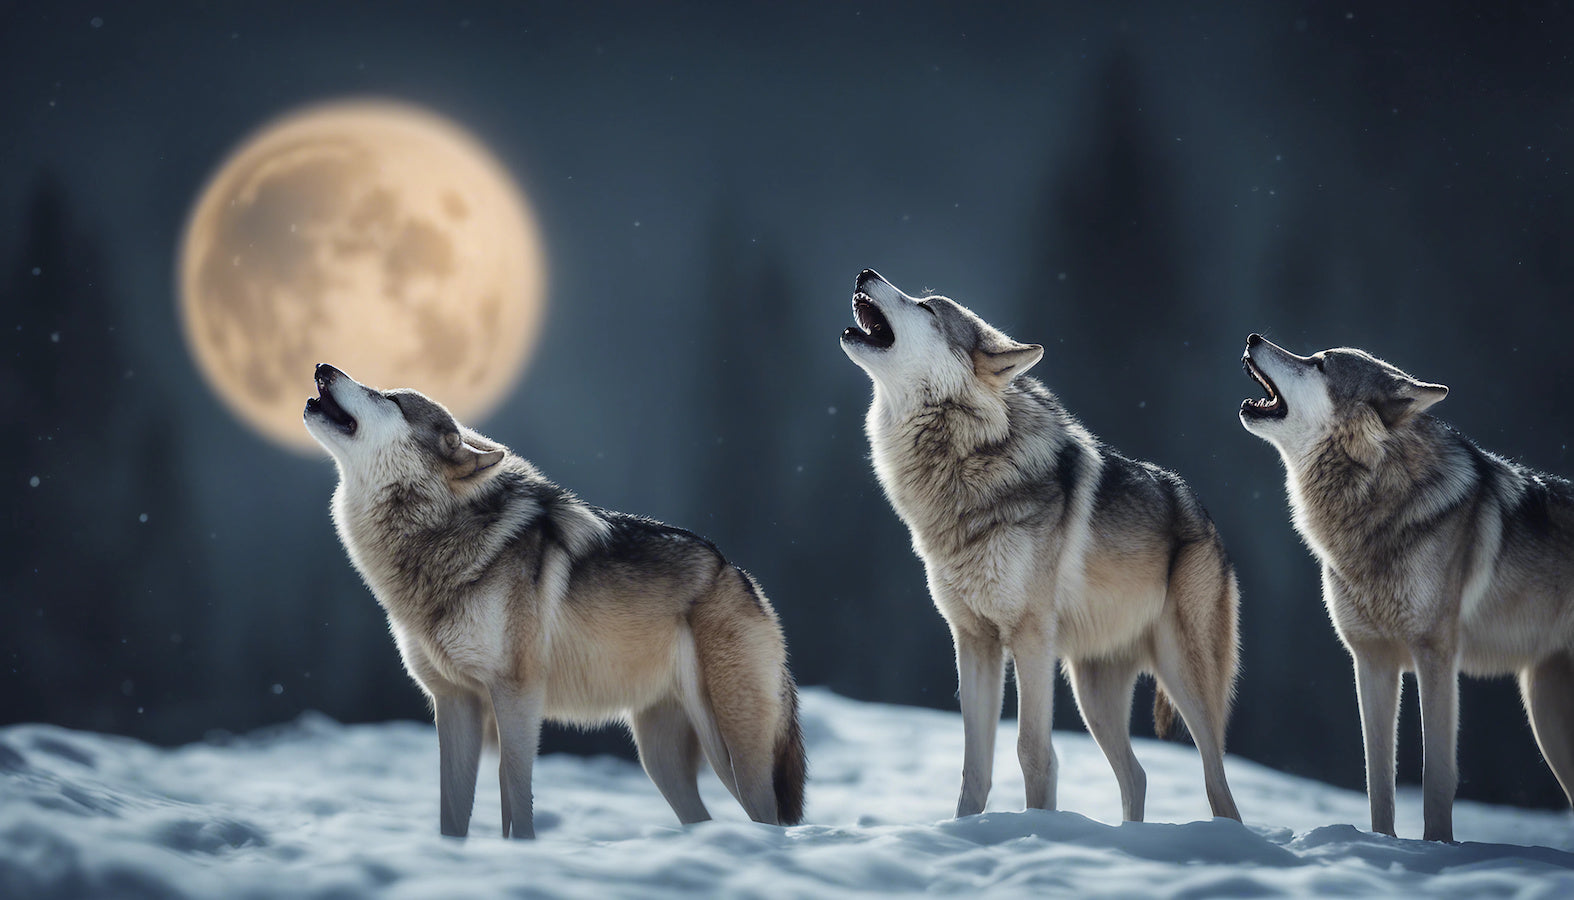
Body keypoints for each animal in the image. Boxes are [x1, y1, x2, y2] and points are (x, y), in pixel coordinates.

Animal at [303, 364, 806, 838]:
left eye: (391, 399)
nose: (324, 367)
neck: (439, 534)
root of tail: (739, 575)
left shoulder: (517, 695)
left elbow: (515, 798)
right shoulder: (455, 701)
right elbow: (453, 814)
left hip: (731, 747)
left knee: (766, 817)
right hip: (660, 756)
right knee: (704, 819)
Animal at [841, 270, 1241, 823]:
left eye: (927, 308)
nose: (865, 274)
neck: (966, 460)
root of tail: (1208, 521)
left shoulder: (1029, 637)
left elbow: (1033, 752)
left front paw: (1037, 828)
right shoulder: (974, 640)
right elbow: (974, 767)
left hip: (1184, 679)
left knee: (1217, 783)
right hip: (1091, 692)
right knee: (1137, 774)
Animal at [1240, 334, 1574, 841]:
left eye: (1319, 364)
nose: (1253, 338)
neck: (1374, 495)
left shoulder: (1435, 655)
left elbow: (1436, 775)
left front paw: (1437, 847)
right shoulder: (1371, 659)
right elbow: (1378, 777)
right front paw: (1384, 844)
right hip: (1545, 711)